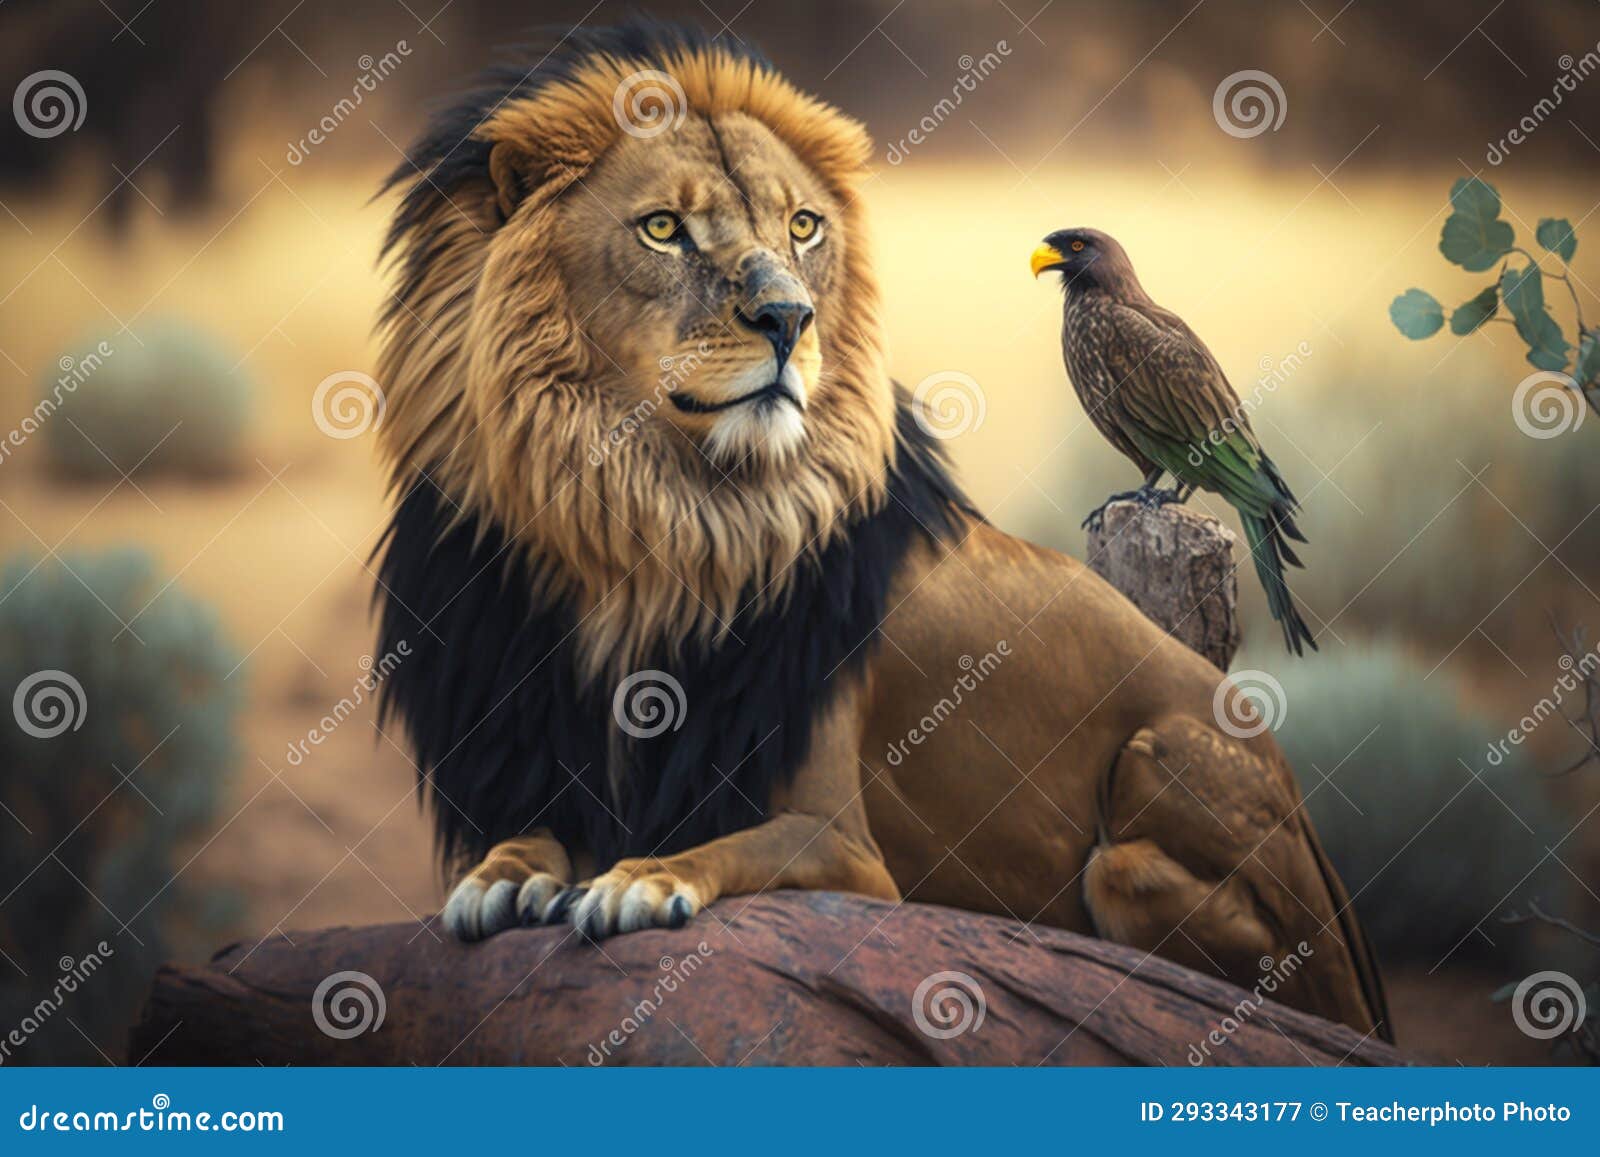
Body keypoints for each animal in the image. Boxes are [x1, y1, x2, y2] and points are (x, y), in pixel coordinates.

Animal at [372, 21, 1390, 1041]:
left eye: (802, 227)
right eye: (663, 228)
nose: (789, 318)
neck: (655, 527)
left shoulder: (843, 843)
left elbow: (722, 847)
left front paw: (642, 879)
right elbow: (533, 835)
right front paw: (501, 877)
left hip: (1135, 850)